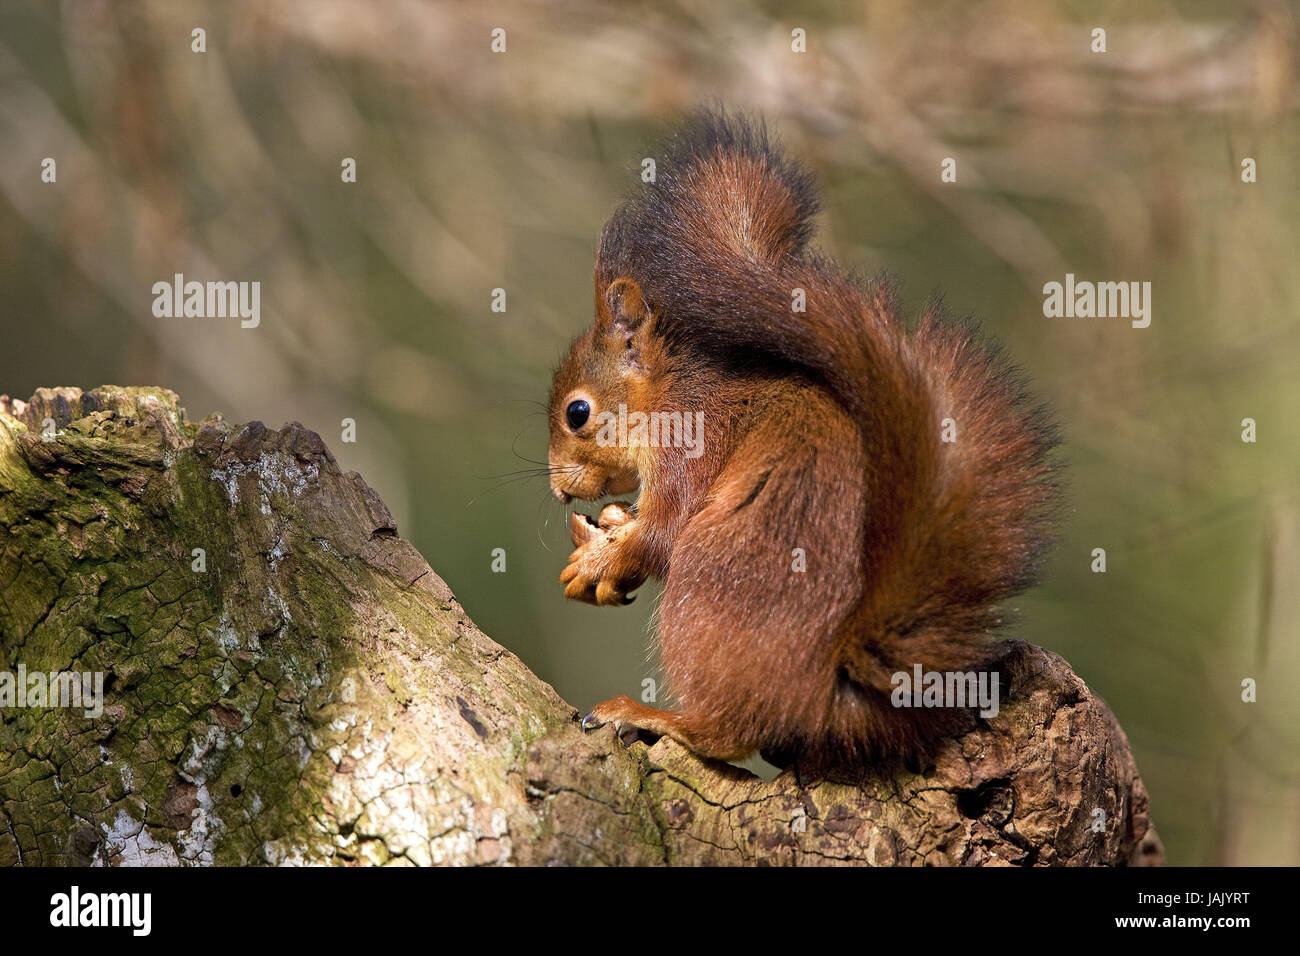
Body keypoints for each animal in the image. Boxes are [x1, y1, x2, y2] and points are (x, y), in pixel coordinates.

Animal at [546, 109, 1061, 770]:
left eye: (577, 412)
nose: (559, 491)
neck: (669, 392)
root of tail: (827, 689)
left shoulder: (693, 442)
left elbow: (662, 532)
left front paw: (604, 557)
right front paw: (610, 522)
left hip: (710, 579)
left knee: (732, 729)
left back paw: (653, 716)